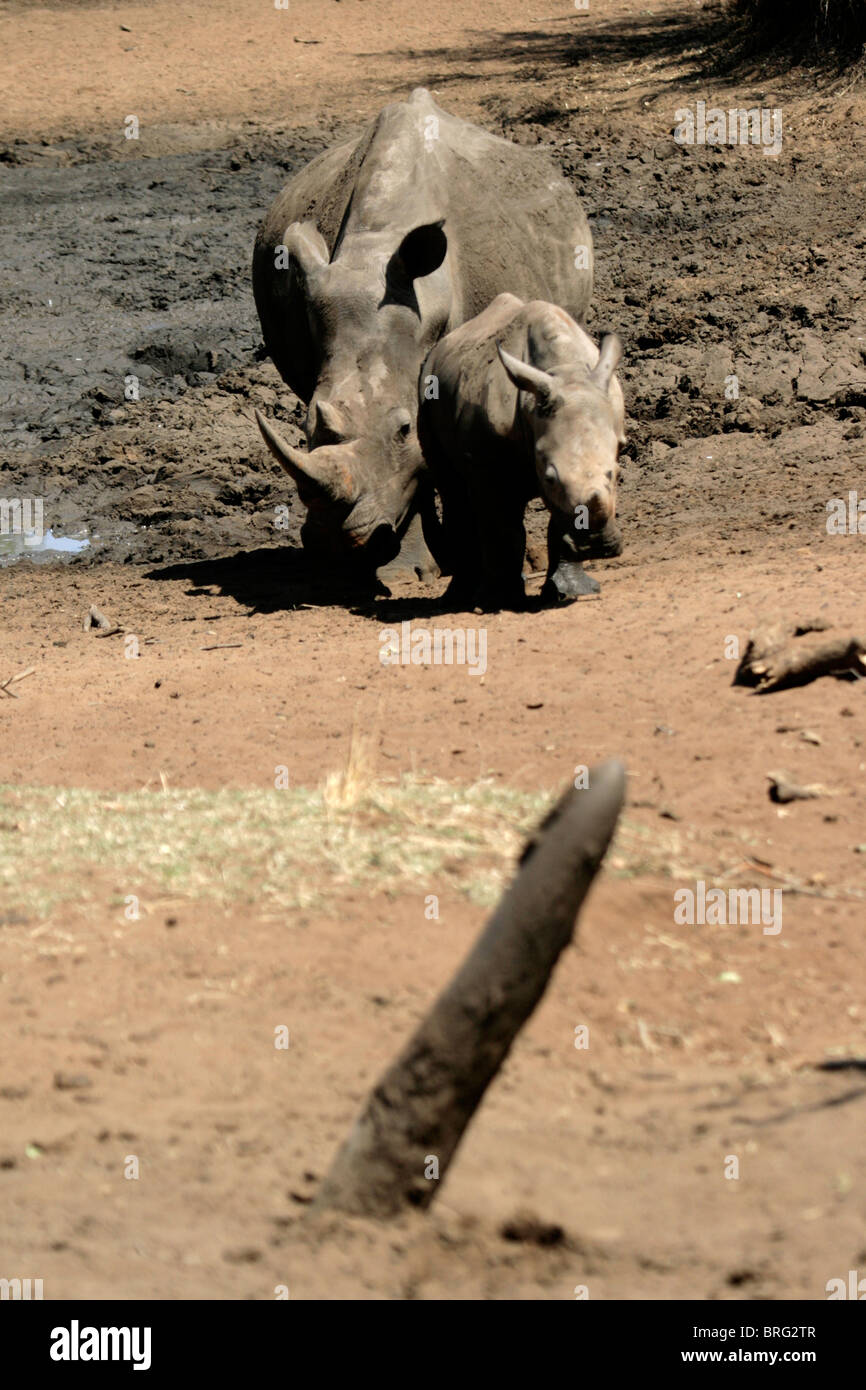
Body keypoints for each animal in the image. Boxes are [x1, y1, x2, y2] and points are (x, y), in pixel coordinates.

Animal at [417, 293, 626, 611]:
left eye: (614, 473)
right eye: (550, 478)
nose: (596, 545)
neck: (565, 371)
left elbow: (558, 520)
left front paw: (571, 591)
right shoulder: (486, 463)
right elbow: (500, 525)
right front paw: (496, 601)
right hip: (425, 392)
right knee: (452, 489)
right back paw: (460, 598)